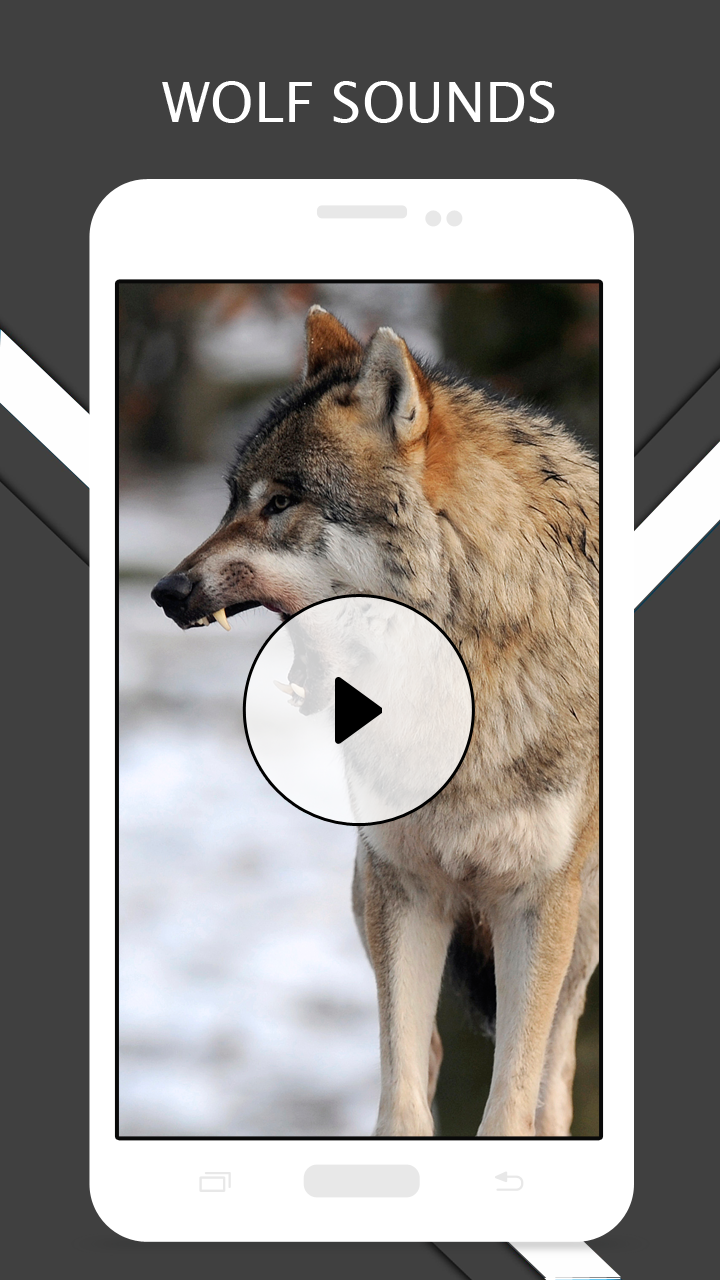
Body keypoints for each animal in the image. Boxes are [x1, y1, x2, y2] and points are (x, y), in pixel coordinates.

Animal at [151, 305, 600, 1138]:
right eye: (231, 500)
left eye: (281, 502)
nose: (166, 591)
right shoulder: (407, 888)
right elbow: (401, 1104)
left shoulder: (537, 901)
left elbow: (512, 1105)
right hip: (369, 893)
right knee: (426, 1051)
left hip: (583, 930)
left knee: (554, 1079)